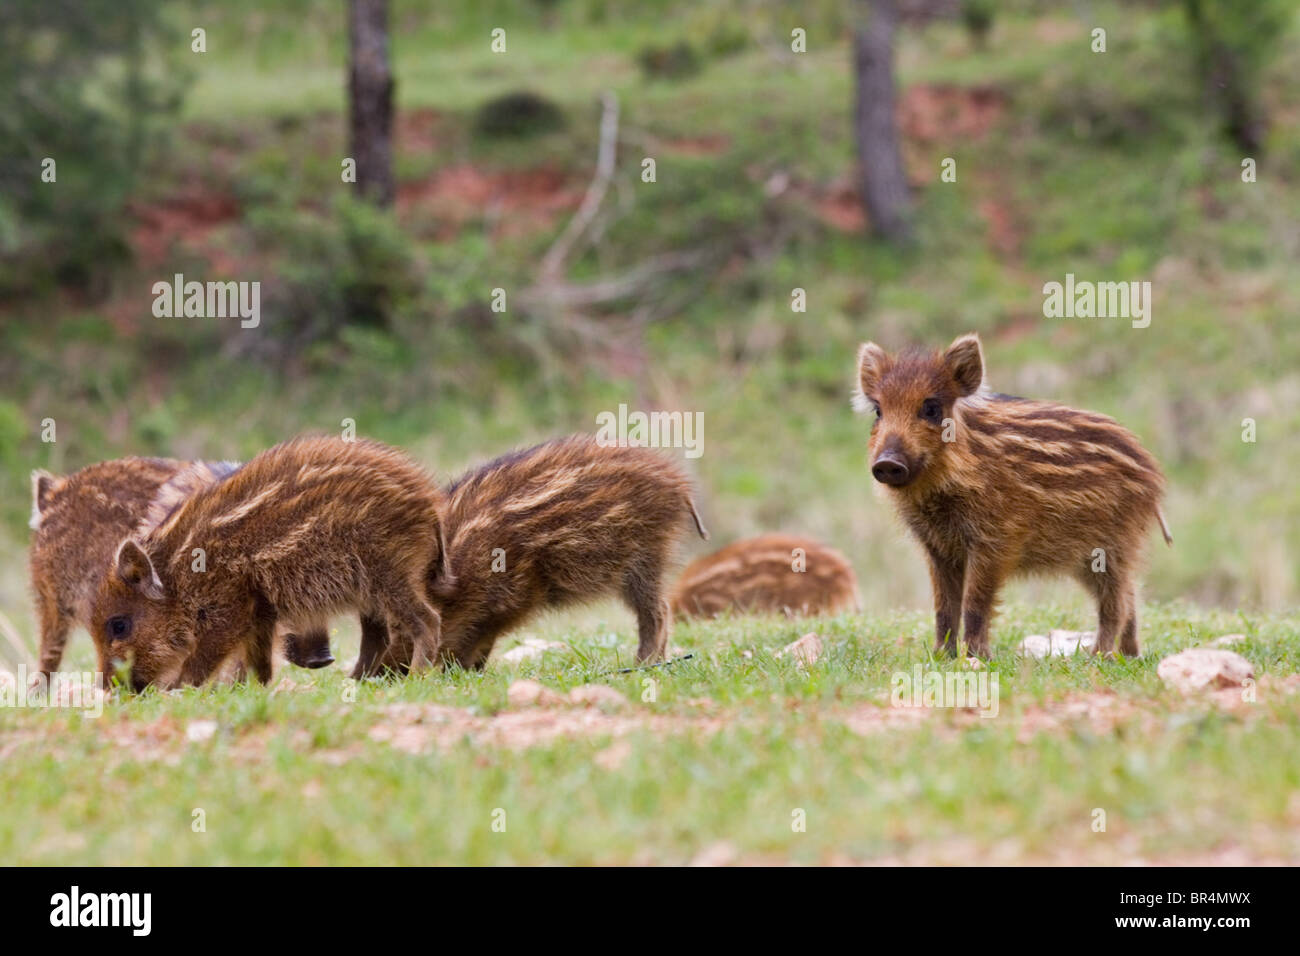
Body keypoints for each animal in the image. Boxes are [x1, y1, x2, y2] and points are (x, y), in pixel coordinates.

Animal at [89, 436, 449, 690]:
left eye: (119, 625)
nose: (109, 689)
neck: (178, 572)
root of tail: (430, 506)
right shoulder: (261, 612)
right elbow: (258, 664)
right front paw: (249, 691)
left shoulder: (229, 606)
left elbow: (203, 659)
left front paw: (177, 691)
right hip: (372, 589)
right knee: (379, 636)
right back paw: (356, 682)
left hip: (391, 570)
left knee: (427, 619)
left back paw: (415, 677)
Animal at [355, 435, 708, 676]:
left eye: (395, 627)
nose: (367, 679)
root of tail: (679, 485)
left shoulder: (517, 594)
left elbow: (478, 635)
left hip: (645, 557)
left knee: (656, 612)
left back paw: (644, 663)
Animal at [853, 332, 1171, 658]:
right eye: (878, 411)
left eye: (931, 408)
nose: (886, 463)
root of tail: (1151, 472)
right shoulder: (937, 548)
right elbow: (943, 607)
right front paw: (942, 656)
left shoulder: (997, 539)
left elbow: (975, 603)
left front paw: (975, 657)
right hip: (1091, 558)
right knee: (1130, 594)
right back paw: (1128, 654)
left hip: (1114, 546)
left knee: (1116, 603)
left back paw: (1097, 656)